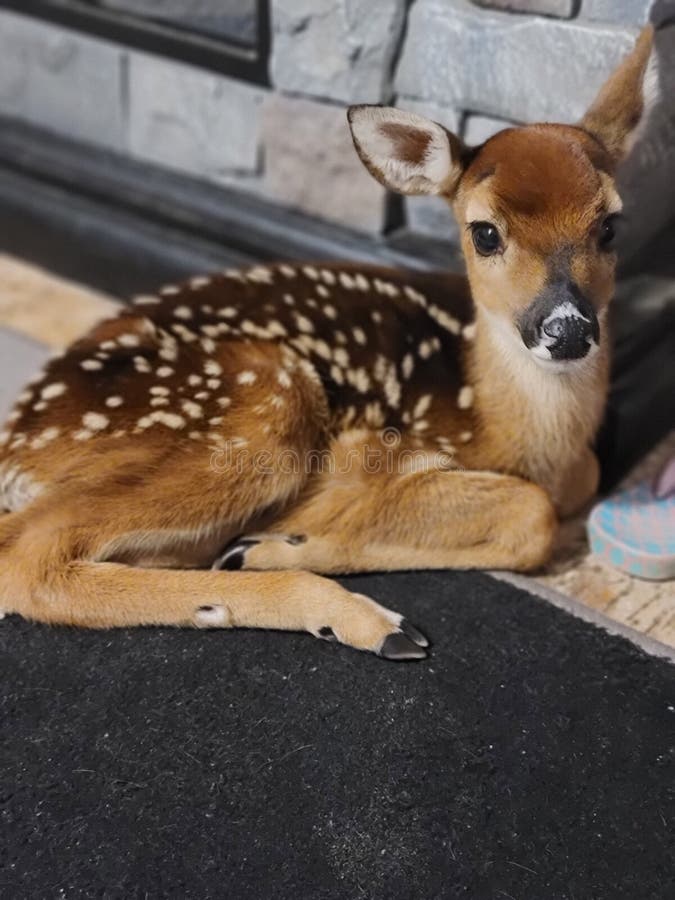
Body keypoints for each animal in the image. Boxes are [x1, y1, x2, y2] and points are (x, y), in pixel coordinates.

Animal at [0, 27, 658, 660]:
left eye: (610, 226)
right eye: (486, 233)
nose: (568, 329)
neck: (508, 431)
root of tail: (21, 437)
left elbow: (578, 483)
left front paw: (274, 542)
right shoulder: (372, 448)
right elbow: (531, 514)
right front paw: (279, 544)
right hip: (258, 400)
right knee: (28, 556)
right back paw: (359, 617)